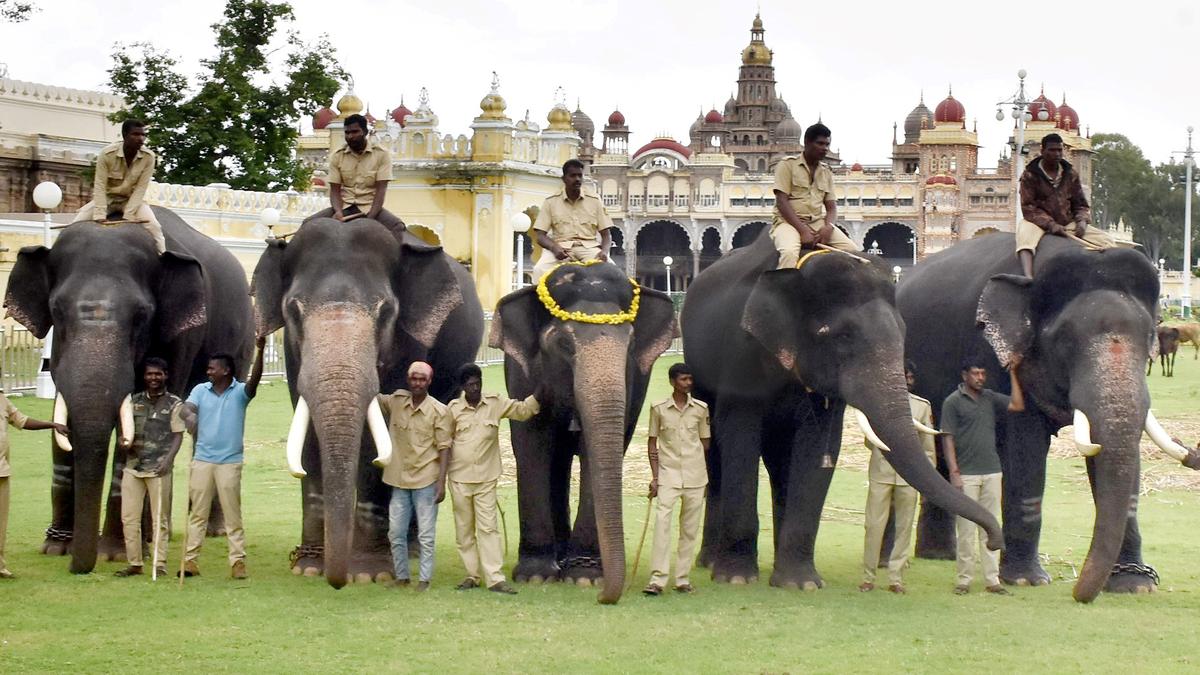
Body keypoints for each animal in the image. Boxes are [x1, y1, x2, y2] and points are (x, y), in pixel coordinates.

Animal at [2, 206, 254, 574]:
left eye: (141, 315)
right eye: (56, 311)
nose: (80, 566)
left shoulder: (181, 338)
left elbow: (136, 430)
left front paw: (113, 554)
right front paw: (55, 548)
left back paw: (210, 530)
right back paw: (155, 536)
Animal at [251, 216, 483, 588]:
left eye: (386, 311)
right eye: (293, 311)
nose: (336, 582)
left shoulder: (410, 341)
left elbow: (382, 442)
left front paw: (368, 573)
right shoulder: (292, 350)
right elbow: (308, 436)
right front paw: (309, 568)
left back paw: (410, 550)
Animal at [488, 261, 677, 604]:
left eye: (630, 345)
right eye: (564, 344)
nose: (605, 597)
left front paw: (586, 577)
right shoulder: (521, 374)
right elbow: (531, 443)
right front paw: (535, 575)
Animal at [680, 232, 1003, 590]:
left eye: (903, 334)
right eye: (844, 336)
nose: (994, 541)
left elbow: (819, 446)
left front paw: (801, 584)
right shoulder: (741, 352)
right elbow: (738, 436)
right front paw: (737, 579)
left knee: (779, 462)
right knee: (715, 457)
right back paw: (710, 562)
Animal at [898, 233, 1198, 602]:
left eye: (1148, 337)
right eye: (1065, 342)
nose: (1079, 594)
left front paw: (1134, 585)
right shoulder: (998, 359)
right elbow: (1024, 451)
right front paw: (1026, 580)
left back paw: (940, 556)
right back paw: (939, 555)